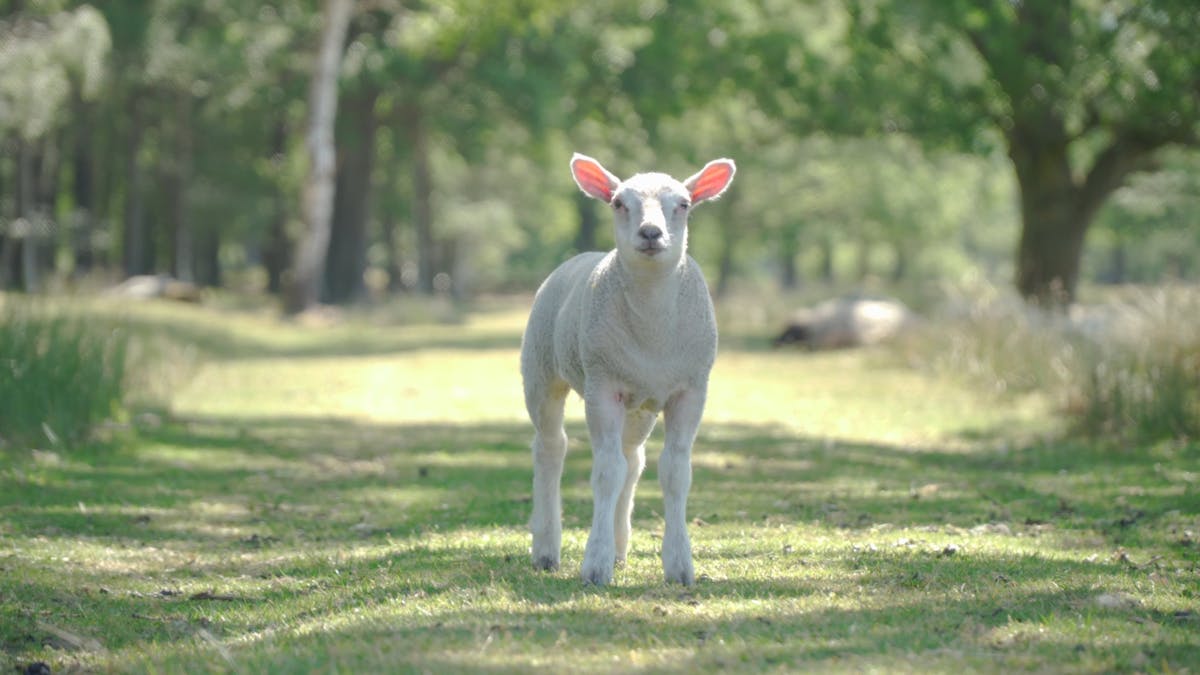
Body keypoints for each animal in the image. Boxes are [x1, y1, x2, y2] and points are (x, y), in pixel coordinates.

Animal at [520, 152, 735, 586]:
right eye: (619, 202)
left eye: (684, 203)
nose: (651, 232)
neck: (653, 332)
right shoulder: (603, 385)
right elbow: (606, 472)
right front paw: (595, 564)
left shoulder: (690, 388)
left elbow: (675, 471)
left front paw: (679, 565)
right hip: (541, 368)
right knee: (551, 448)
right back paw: (547, 550)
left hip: (641, 402)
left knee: (632, 459)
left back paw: (621, 546)